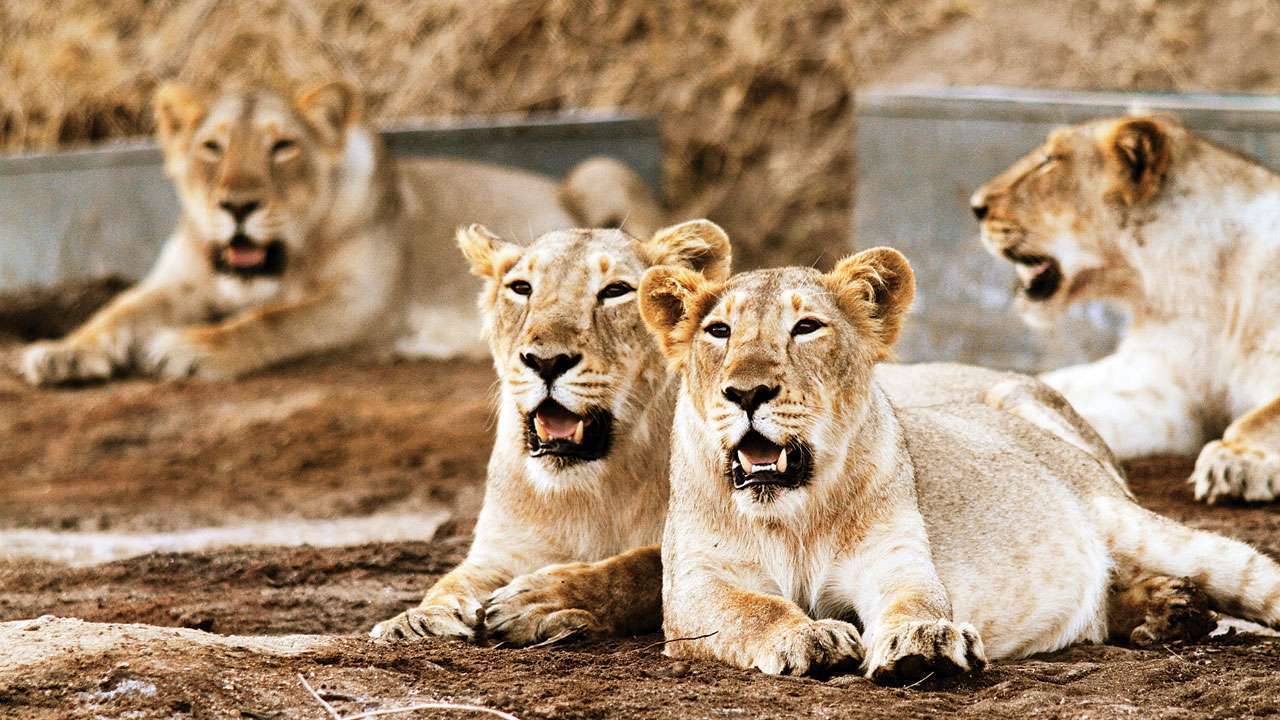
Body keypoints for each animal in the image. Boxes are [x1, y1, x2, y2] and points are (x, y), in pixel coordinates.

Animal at [17, 80, 662, 385]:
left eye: (282, 146)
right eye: (212, 147)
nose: (238, 206)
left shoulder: (366, 303)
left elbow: (274, 320)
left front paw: (191, 349)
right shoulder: (179, 283)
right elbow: (119, 311)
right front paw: (62, 353)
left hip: (601, 168)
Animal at [369, 220, 731, 645]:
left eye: (615, 290)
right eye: (521, 287)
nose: (545, 361)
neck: (589, 489)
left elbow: (637, 566)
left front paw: (541, 600)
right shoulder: (504, 549)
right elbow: (452, 580)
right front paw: (418, 619)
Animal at [637, 248, 1280, 684]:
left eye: (807, 326)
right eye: (719, 330)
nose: (746, 392)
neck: (797, 513)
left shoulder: (896, 555)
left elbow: (914, 599)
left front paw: (921, 641)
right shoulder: (694, 586)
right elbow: (755, 608)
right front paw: (810, 635)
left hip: (1135, 523)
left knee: (1243, 571)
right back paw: (1166, 612)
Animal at [971, 115, 1280, 504]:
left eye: (1050, 160)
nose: (975, 206)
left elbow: (1266, 415)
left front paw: (1235, 459)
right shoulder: (1166, 390)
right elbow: (1076, 402)